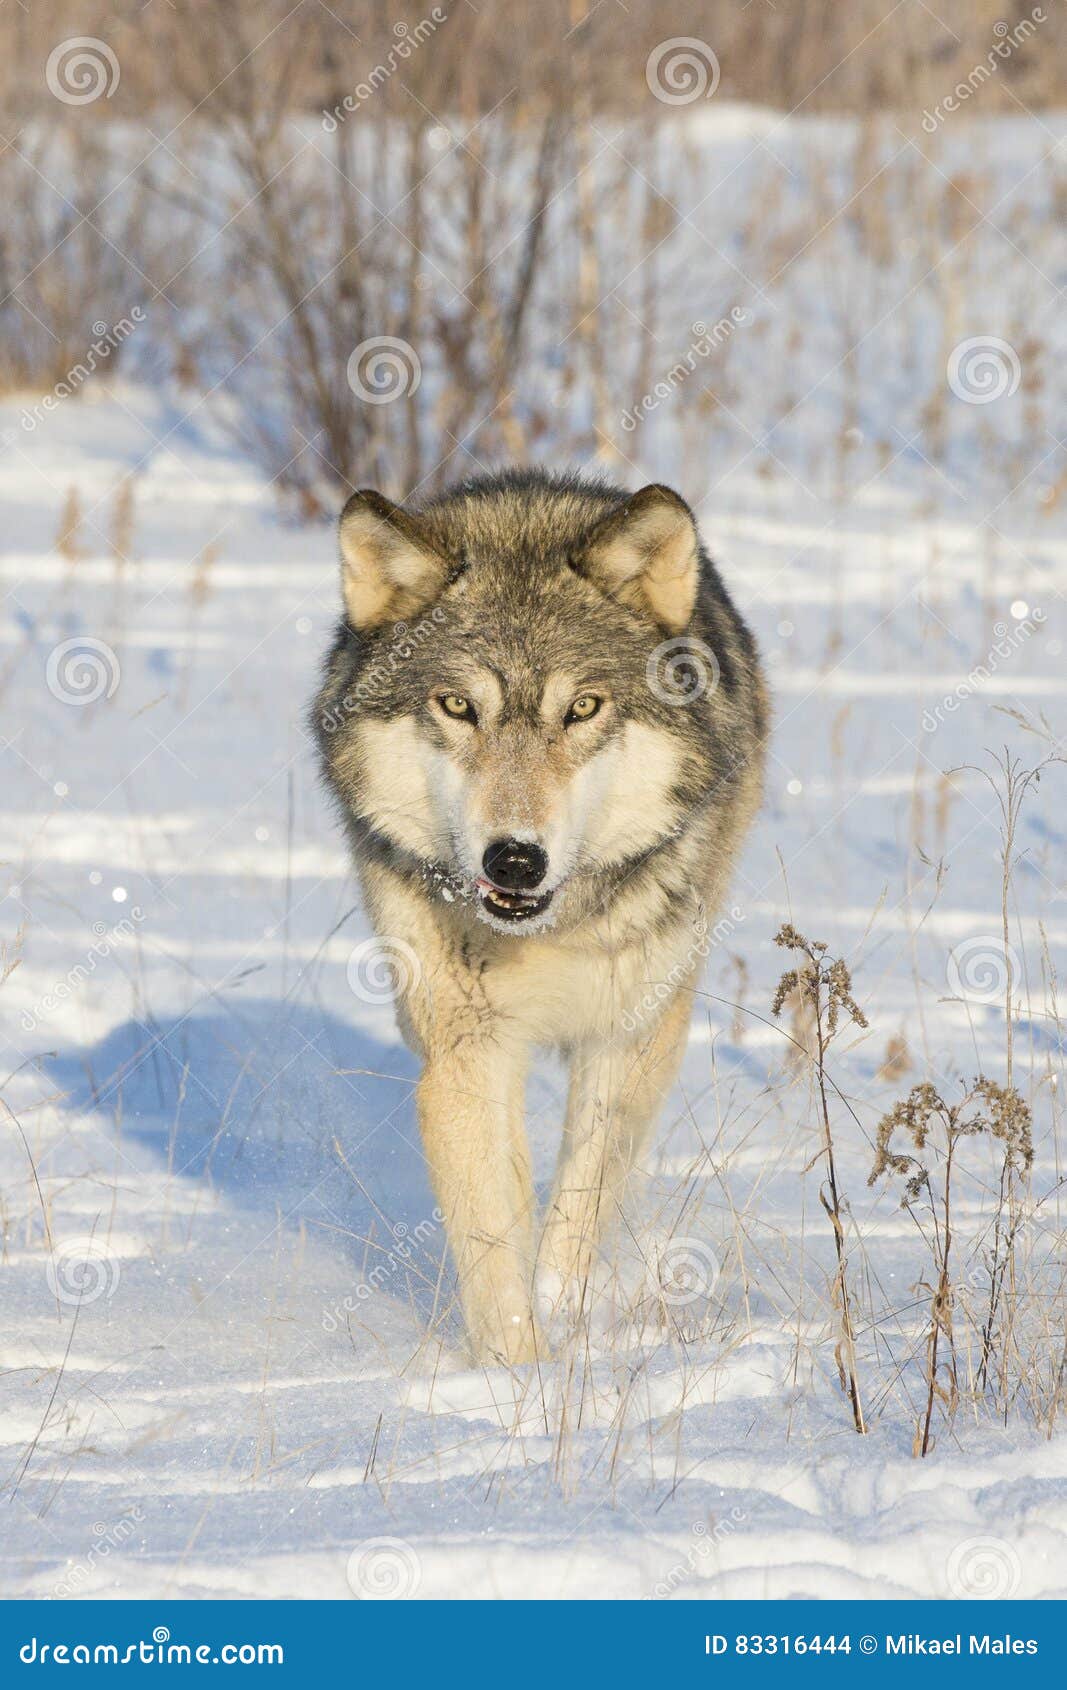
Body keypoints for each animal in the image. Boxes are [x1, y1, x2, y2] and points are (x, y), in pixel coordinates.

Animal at [314, 470, 766, 1364]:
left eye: (582, 708)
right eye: (458, 706)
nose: (514, 860)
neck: (548, 934)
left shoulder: (630, 1035)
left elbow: (577, 1210)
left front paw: (563, 1321)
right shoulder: (468, 1049)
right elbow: (493, 1242)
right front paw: (513, 1379)